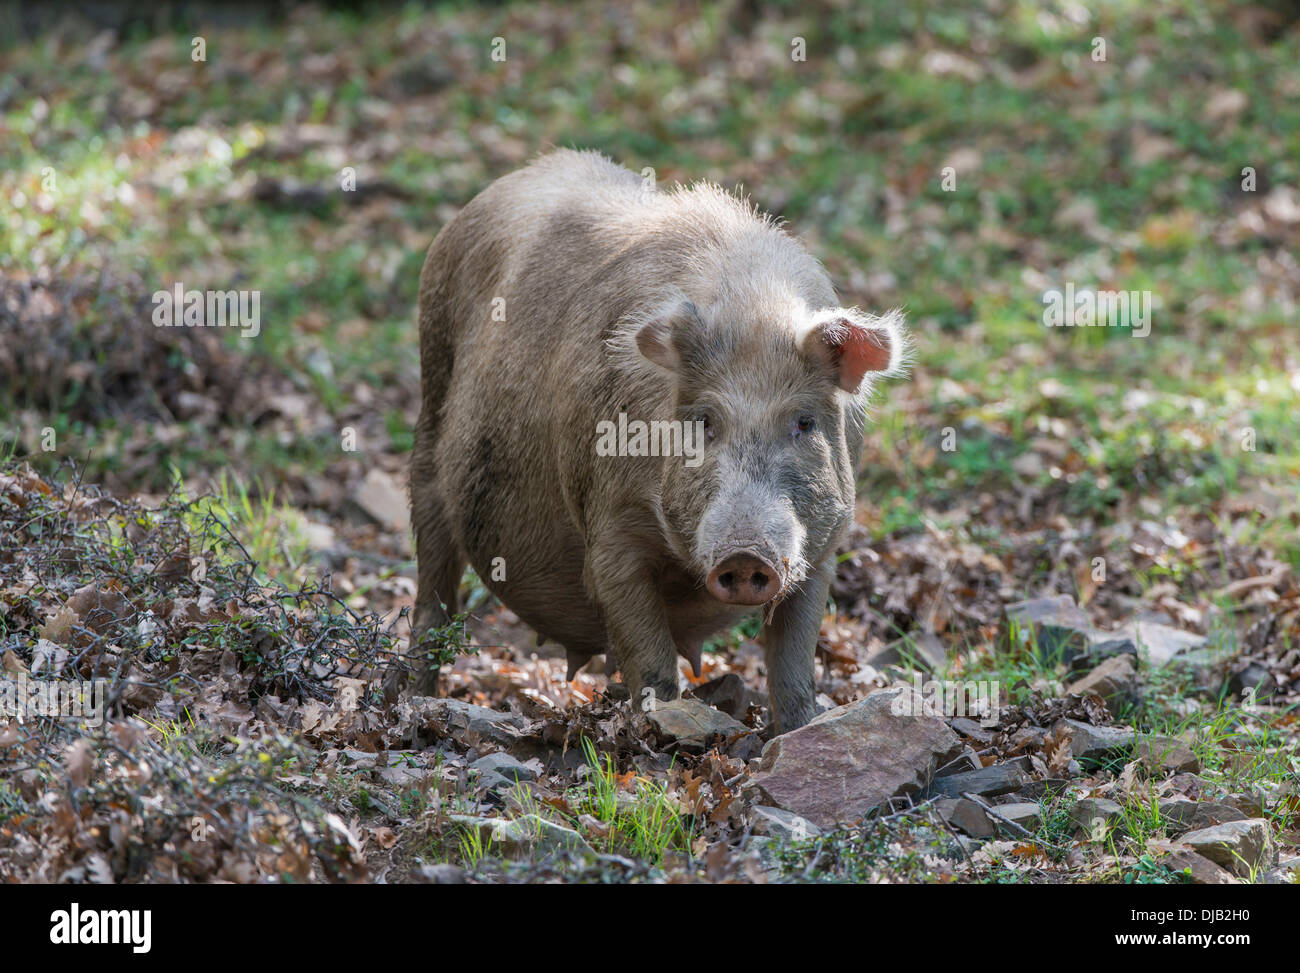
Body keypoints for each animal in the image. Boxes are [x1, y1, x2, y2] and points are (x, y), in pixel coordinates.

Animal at [405, 149, 907, 733]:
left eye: (804, 422)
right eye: (705, 422)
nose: (746, 554)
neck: (753, 305)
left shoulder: (822, 549)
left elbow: (793, 662)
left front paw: (799, 730)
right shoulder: (610, 534)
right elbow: (650, 659)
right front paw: (661, 730)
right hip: (429, 418)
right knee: (432, 585)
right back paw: (410, 700)